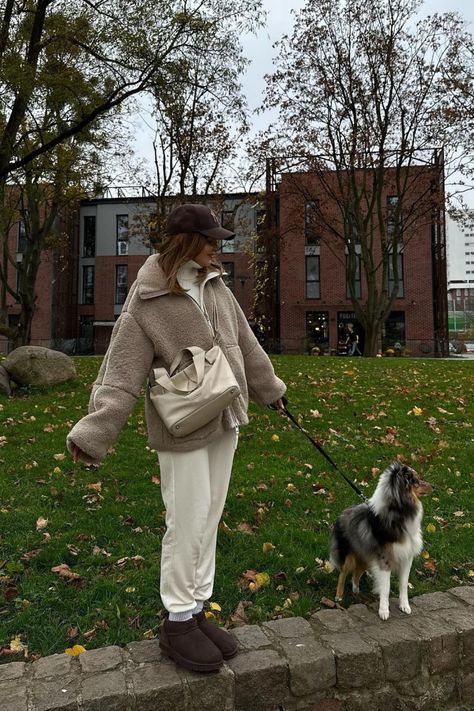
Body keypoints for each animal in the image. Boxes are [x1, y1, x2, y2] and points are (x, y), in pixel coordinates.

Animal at [330, 464, 434, 620]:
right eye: (415, 480)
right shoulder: (385, 559)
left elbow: (403, 584)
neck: (399, 514)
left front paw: (405, 606)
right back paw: (339, 597)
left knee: (356, 573)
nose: (433, 486)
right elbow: (386, 587)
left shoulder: (406, 558)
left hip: (366, 556)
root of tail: (342, 513)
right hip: (349, 555)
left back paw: (356, 590)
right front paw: (384, 611)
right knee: (343, 573)